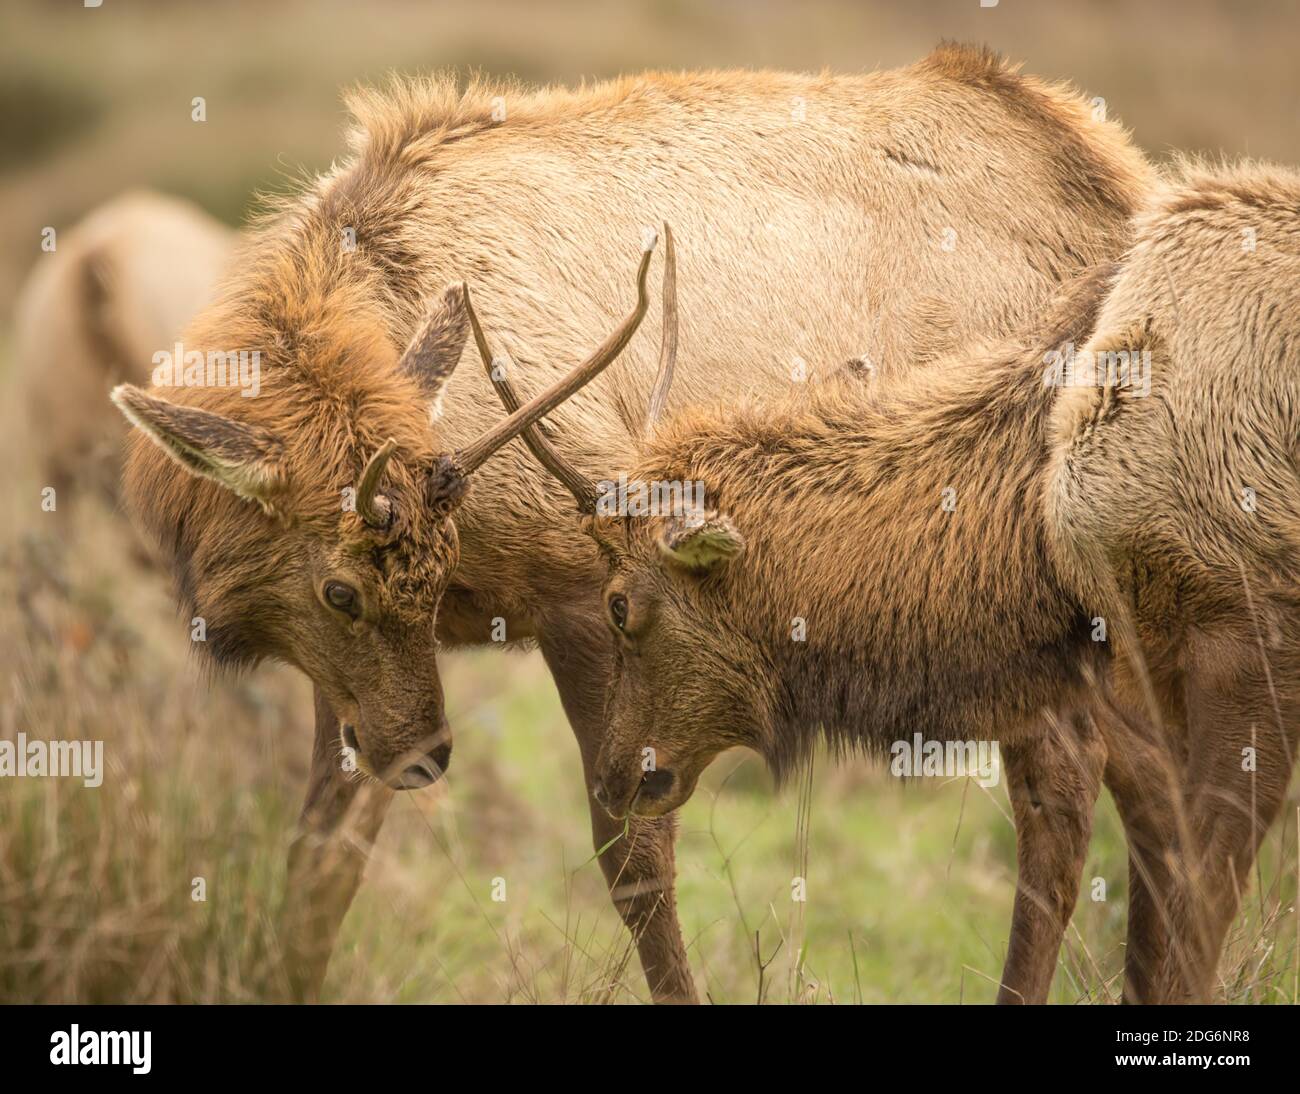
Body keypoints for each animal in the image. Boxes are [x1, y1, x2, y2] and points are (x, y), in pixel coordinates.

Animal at [111, 45, 1154, 1003]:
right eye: (341, 591)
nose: (427, 758)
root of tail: (1122, 180)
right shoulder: (361, 675)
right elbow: (321, 857)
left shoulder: (591, 589)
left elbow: (634, 859)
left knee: (1065, 790)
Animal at [522, 160, 1300, 1003]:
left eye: (619, 605)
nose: (610, 779)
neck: (1037, 532)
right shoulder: (1147, 667)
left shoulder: (1246, 642)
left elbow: (1197, 914)